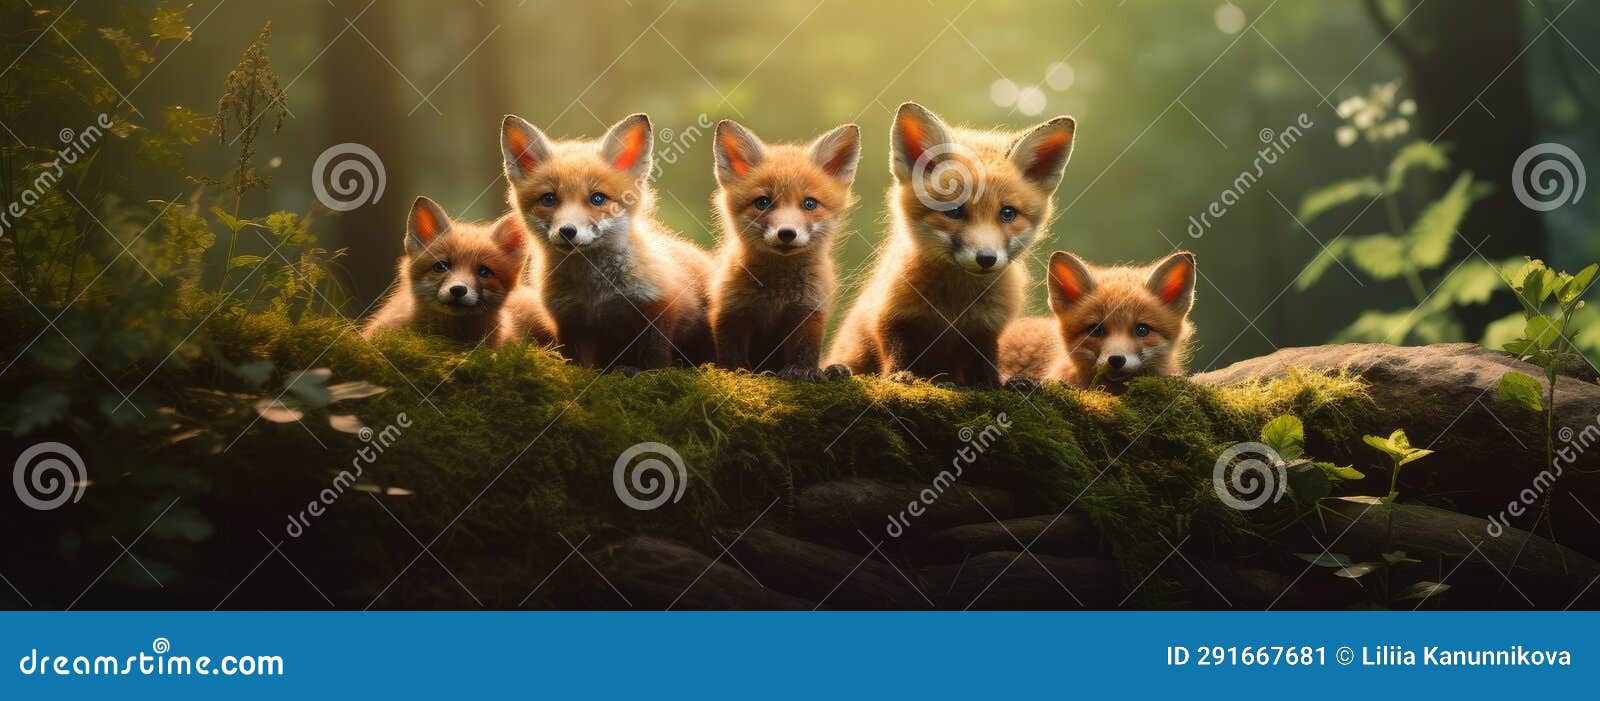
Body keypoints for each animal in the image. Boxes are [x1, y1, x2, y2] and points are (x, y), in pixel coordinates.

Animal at [500, 112, 714, 370]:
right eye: (549, 199)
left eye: (597, 198)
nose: (567, 231)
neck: (596, 293)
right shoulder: (569, 320)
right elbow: (576, 362)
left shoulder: (659, 304)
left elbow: (654, 357)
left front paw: (650, 373)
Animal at [708, 119, 862, 380]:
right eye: (762, 202)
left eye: (809, 204)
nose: (787, 233)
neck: (777, 294)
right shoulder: (732, 308)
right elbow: (731, 349)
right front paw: (735, 371)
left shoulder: (808, 309)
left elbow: (805, 347)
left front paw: (804, 371)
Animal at [826, 102, 1077, 386]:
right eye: (954, 211)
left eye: (1007, 213)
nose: (986, 258)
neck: (954, 308)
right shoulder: (893, 316)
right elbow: (896, 353)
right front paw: (901, 376)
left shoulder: (986, 329)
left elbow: (985, 365)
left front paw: (998, 385)